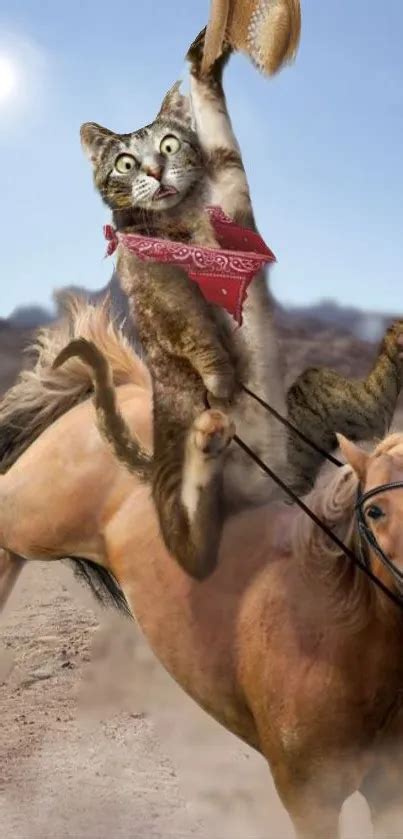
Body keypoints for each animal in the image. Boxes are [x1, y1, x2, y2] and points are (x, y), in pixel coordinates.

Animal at [1, 299, 403, 839]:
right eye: (374, 510)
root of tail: (130, 384)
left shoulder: (388, 792)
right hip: (31, 515)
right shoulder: (310, 800)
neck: (333, 638)